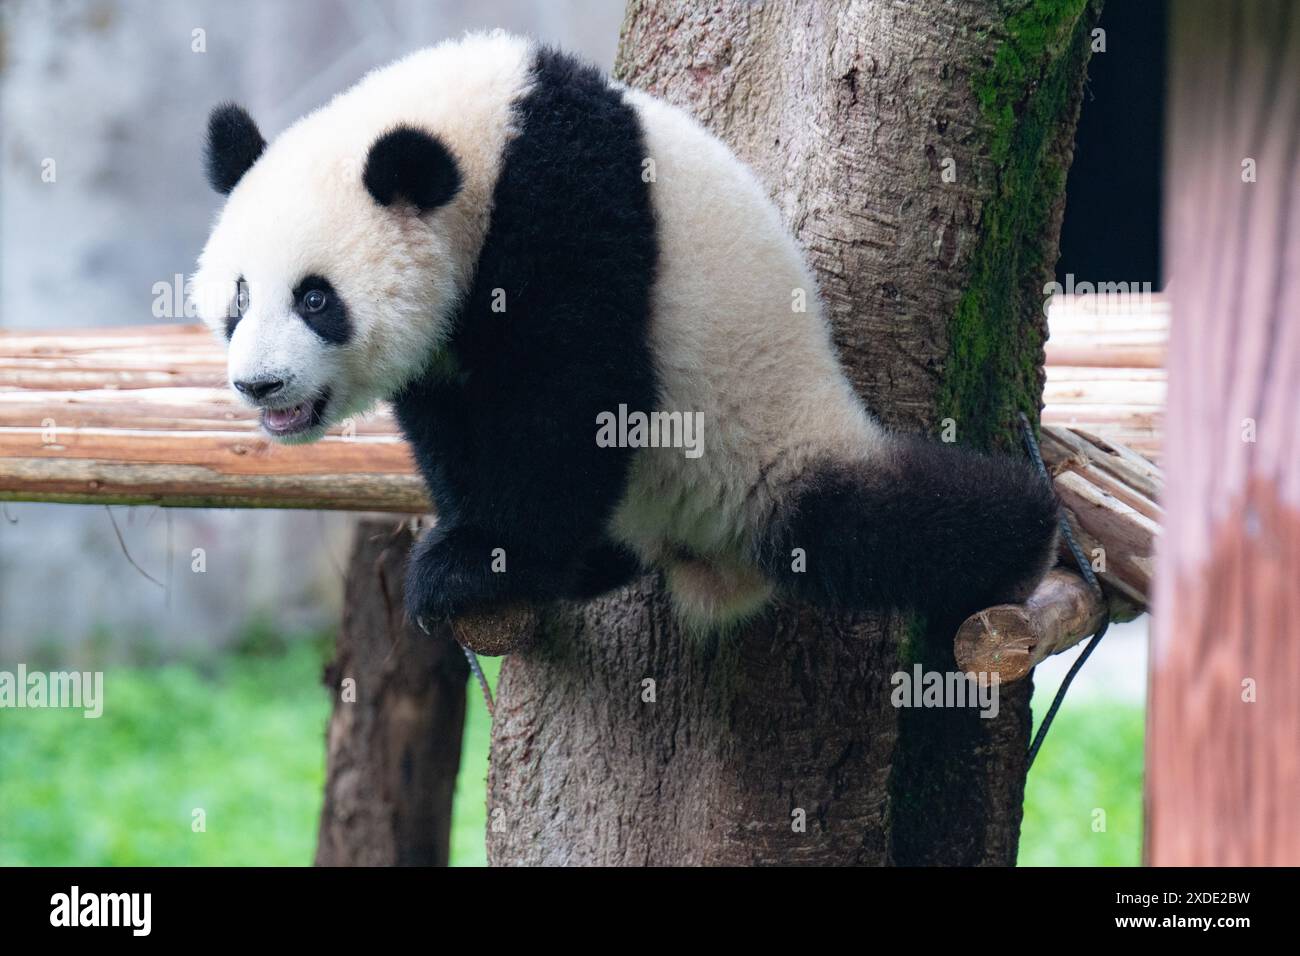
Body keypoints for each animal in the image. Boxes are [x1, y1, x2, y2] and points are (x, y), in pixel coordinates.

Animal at [193, 31, 1059, 633]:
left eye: (315, 299)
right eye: (239, 296)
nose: (260, 385)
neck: (488, 129)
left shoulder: (565, 199)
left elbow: (571, 393)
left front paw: (477, 564)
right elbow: (450, 419)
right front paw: (477, 540)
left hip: (767, 442)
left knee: (881, 522)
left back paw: (1025, 536)